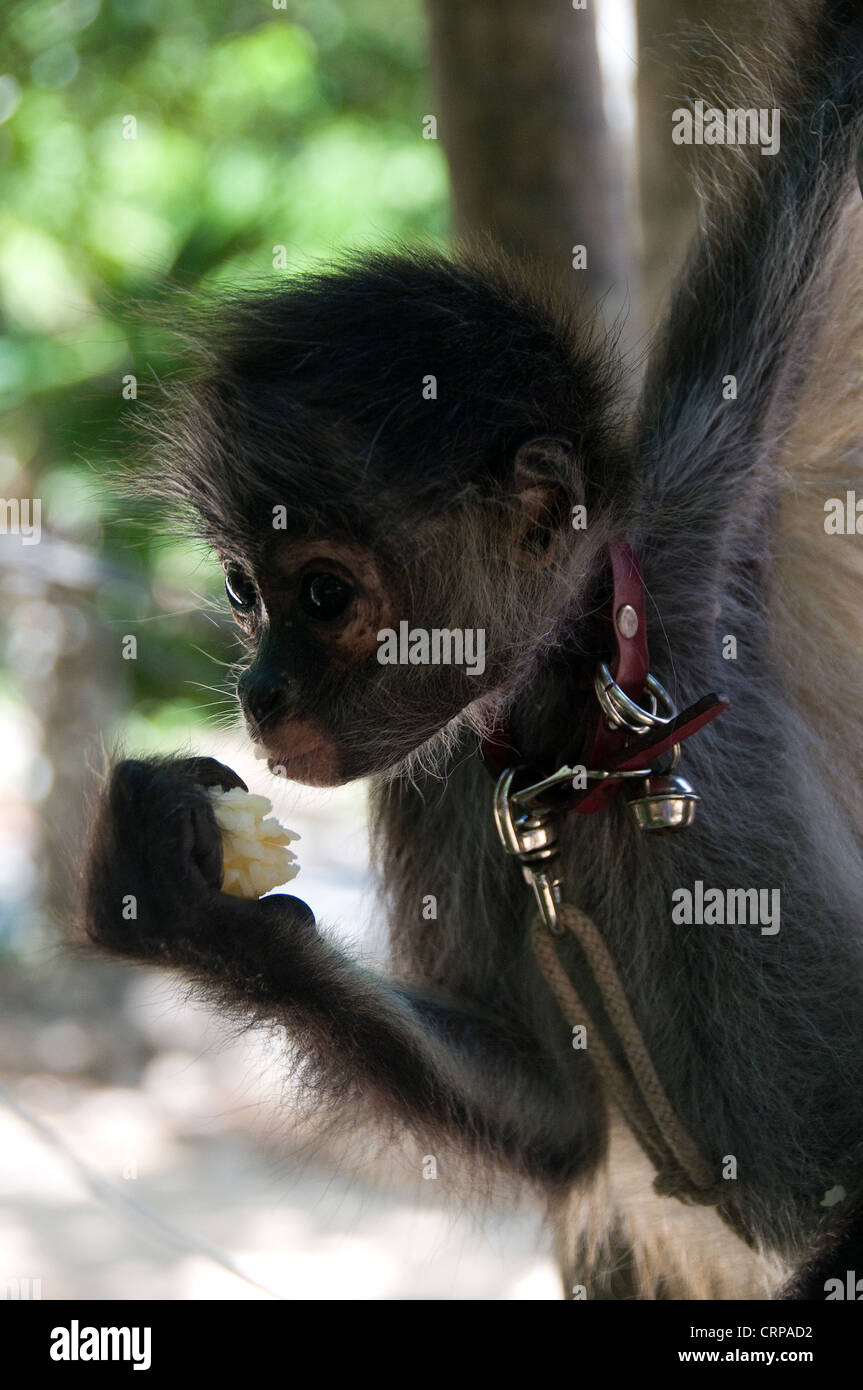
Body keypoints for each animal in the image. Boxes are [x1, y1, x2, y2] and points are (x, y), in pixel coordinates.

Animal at [81, 0, 863, 1299]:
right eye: (241, 588)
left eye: (324, 592)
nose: (259, 691)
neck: (579, 731)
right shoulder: (437, 771)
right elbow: (556, 1120)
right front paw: (187, 907)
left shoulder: (710, 510)